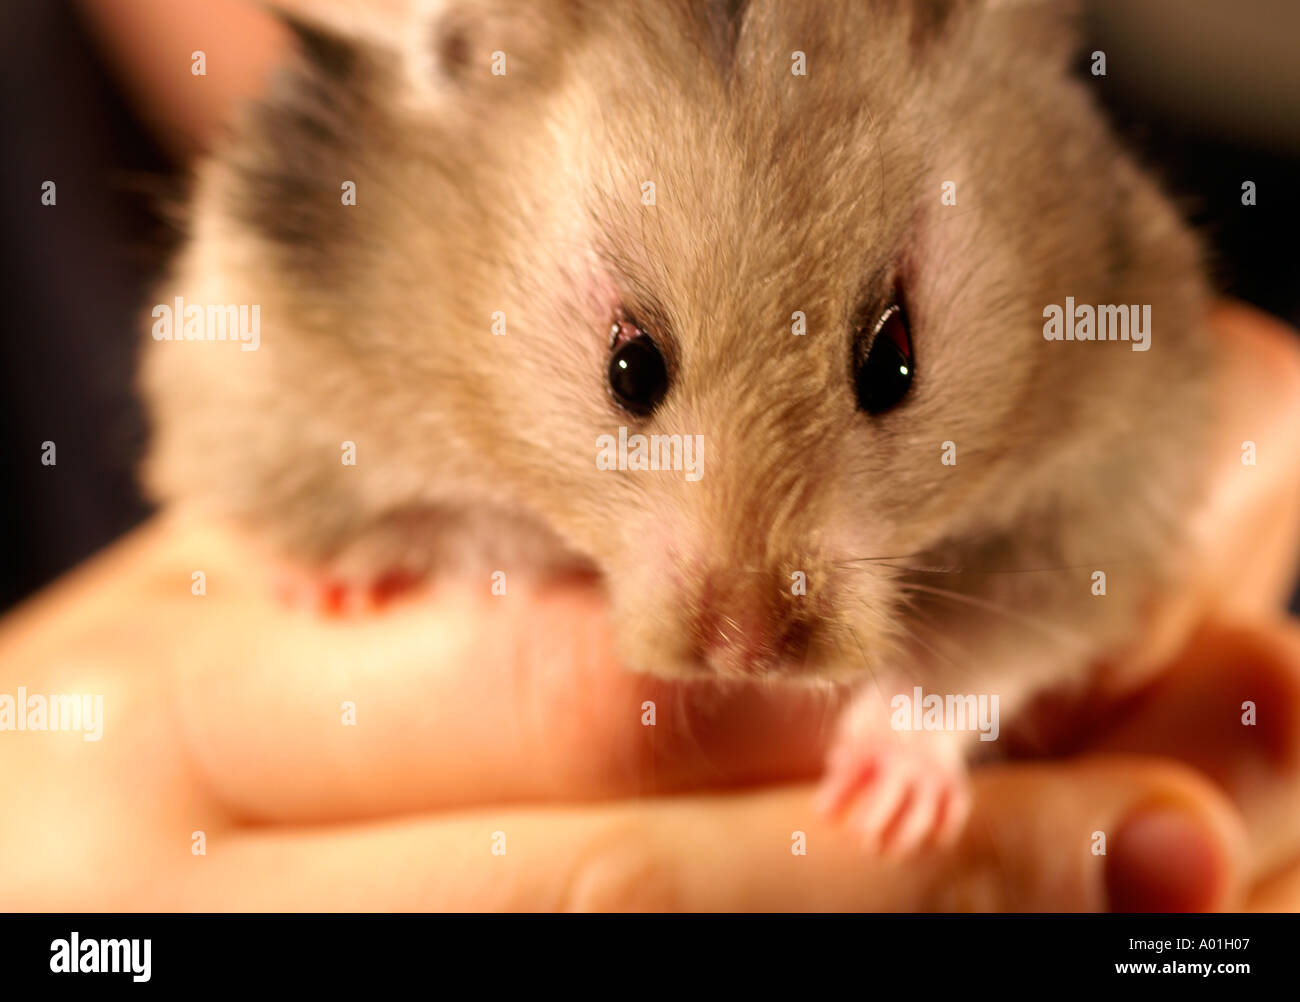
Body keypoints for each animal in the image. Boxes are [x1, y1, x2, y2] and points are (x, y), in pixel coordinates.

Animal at [139, 0, 1213, 855]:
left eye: (894, 361)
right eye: (631, 366)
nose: (745, 655)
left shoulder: (1109, 479)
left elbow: (989, 646)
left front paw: (885, 812)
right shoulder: (245, 362)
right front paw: (343, 591)